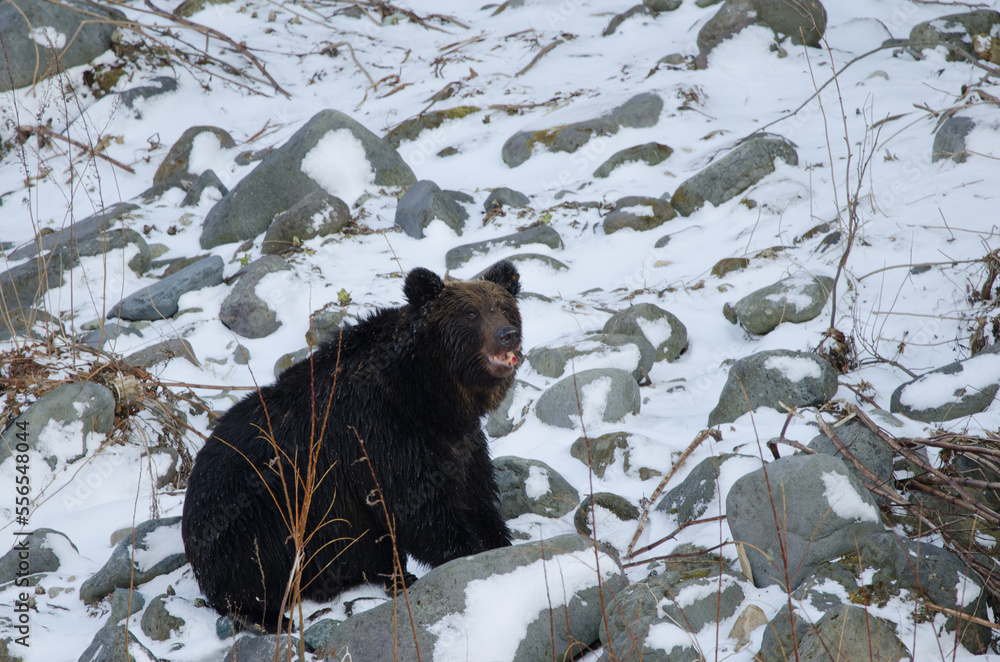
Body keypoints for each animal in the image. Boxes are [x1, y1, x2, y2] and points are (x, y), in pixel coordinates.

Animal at [181, 260, 522, 631]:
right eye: (471, 313)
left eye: (504, 307)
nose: (508, 334)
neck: (429, 398)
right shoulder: (377, 435)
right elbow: (419, 510)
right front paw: (468, 552)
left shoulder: (461, 444)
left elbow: (478, 497)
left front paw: (500, 542)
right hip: (250, 512)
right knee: (250, 570)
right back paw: (273, 616)